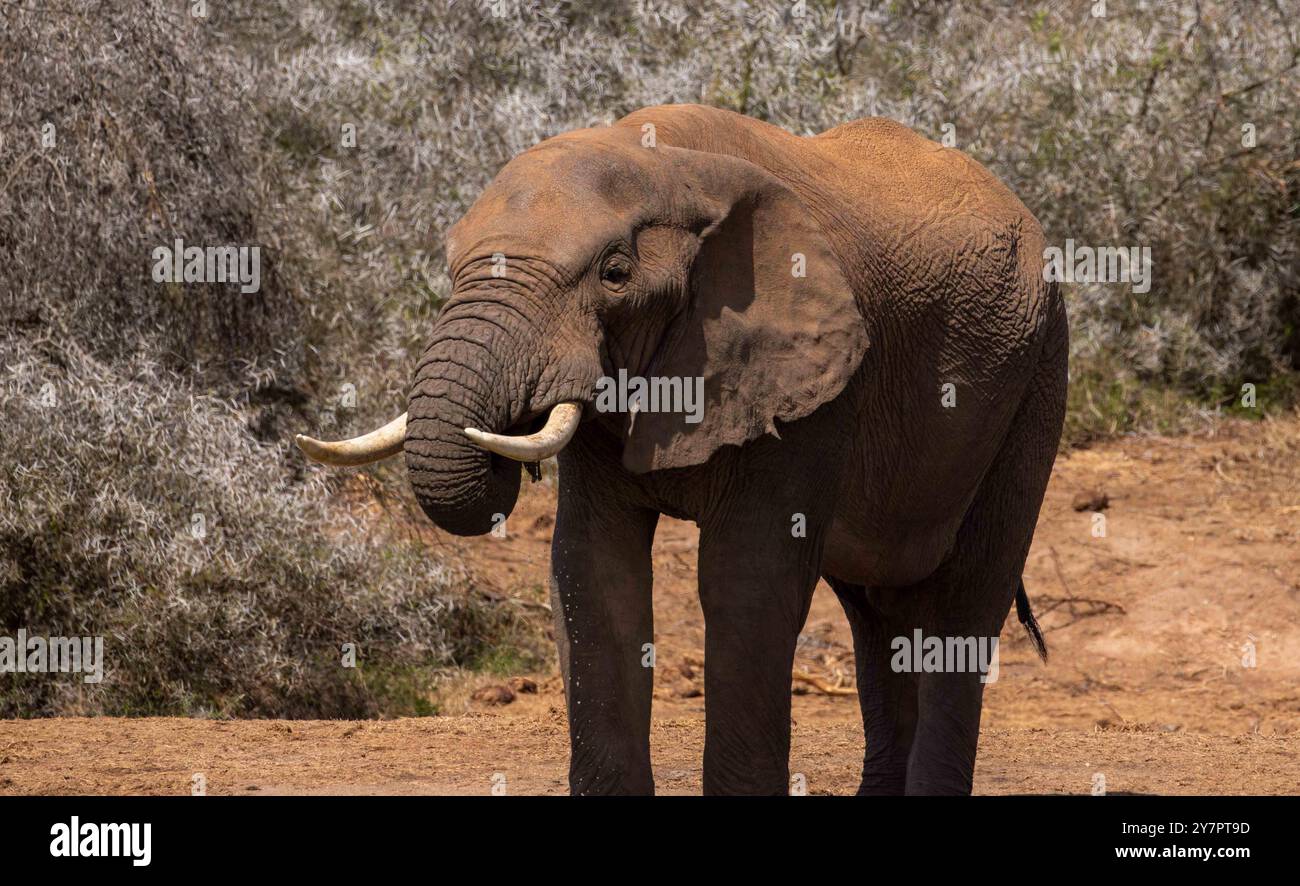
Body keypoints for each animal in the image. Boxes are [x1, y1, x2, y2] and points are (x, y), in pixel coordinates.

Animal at [297, 103, 1067, 796]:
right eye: (450, 268)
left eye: (614, 274)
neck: (668, 164)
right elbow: (594, 573)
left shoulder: (809, 383)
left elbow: (747, 582)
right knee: (875, 614)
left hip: (1037, 369)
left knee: (966, 600)